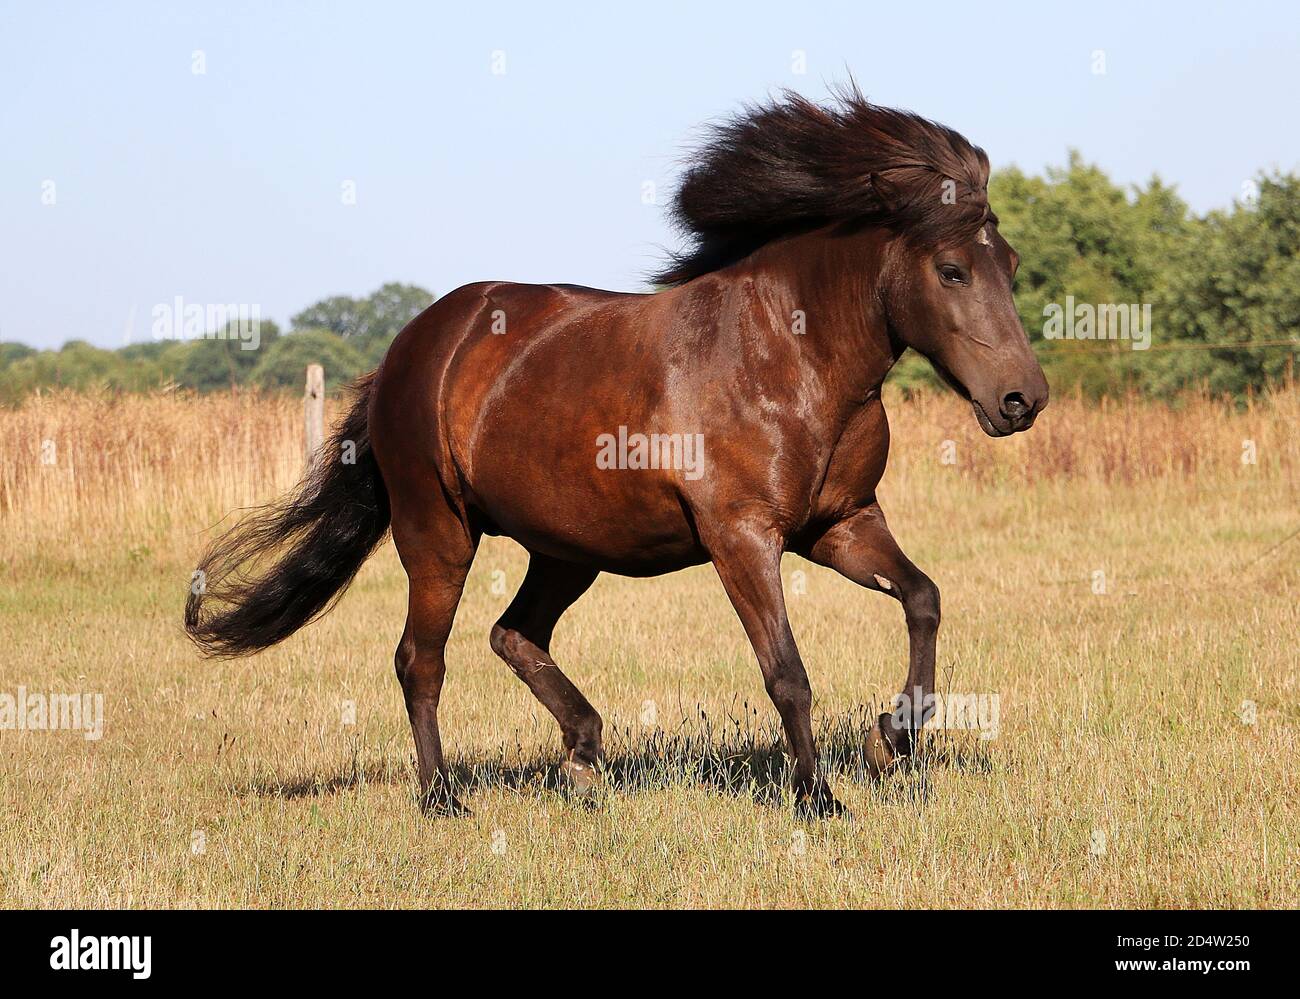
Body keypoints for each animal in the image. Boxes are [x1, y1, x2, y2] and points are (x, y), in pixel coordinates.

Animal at [185, 85, 1048, 818]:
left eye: (1009, 265)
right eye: (951, 269)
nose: (1022, 399)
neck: (788, 356)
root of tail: (411, 348)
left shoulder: (839, 524)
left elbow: (923, 598)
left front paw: (888, 742)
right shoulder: (742, 537)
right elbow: (788, 672)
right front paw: (818, 798)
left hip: (567, 547)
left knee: (514, 633)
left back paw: (582, 756)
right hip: (439, 532)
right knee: (420, 659)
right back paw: (443, 796)